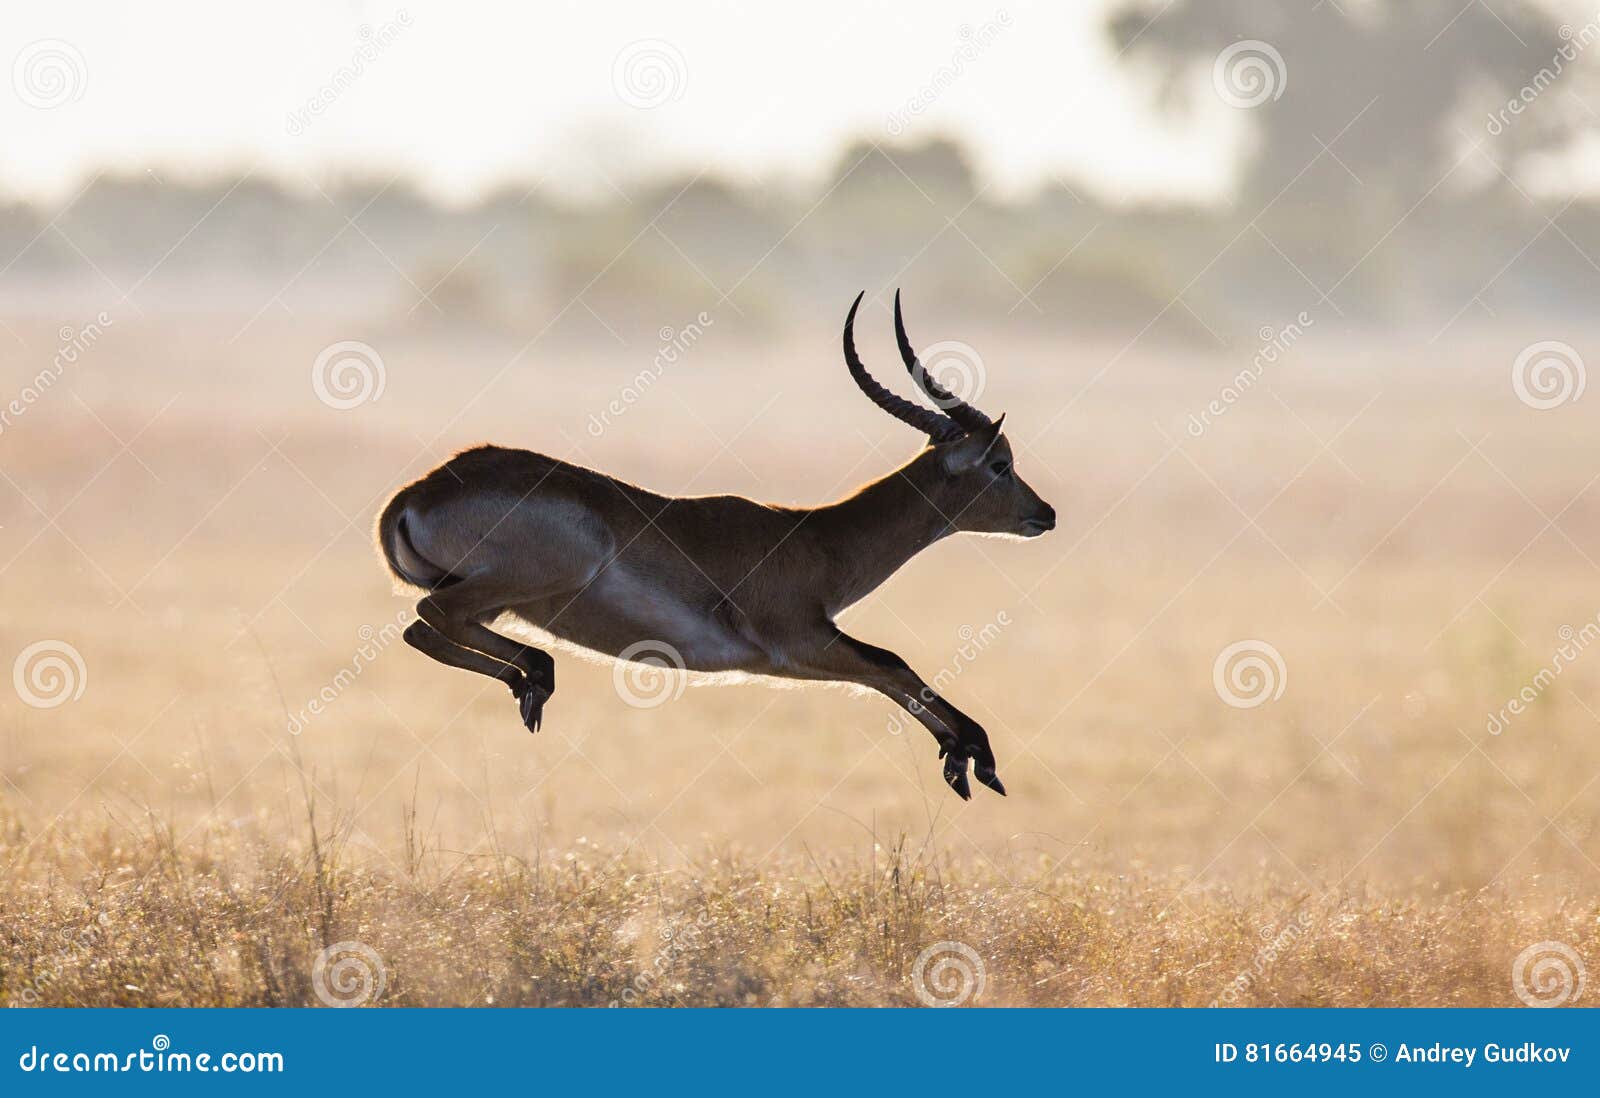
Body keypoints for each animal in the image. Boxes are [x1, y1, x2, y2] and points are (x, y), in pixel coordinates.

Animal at [376, 292, 1055, 799]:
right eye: (1000, 463)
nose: (1044, 514)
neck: (816, 540)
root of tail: (420, 491)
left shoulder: (796, 653)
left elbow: (889, 673)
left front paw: (959, 758)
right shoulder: (796, 642)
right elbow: (892, 663)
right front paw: (975, 757)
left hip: (494, 601)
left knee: (419, 629)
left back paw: (528, 684)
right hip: (530, 580)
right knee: (434, 615)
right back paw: (535, 678)